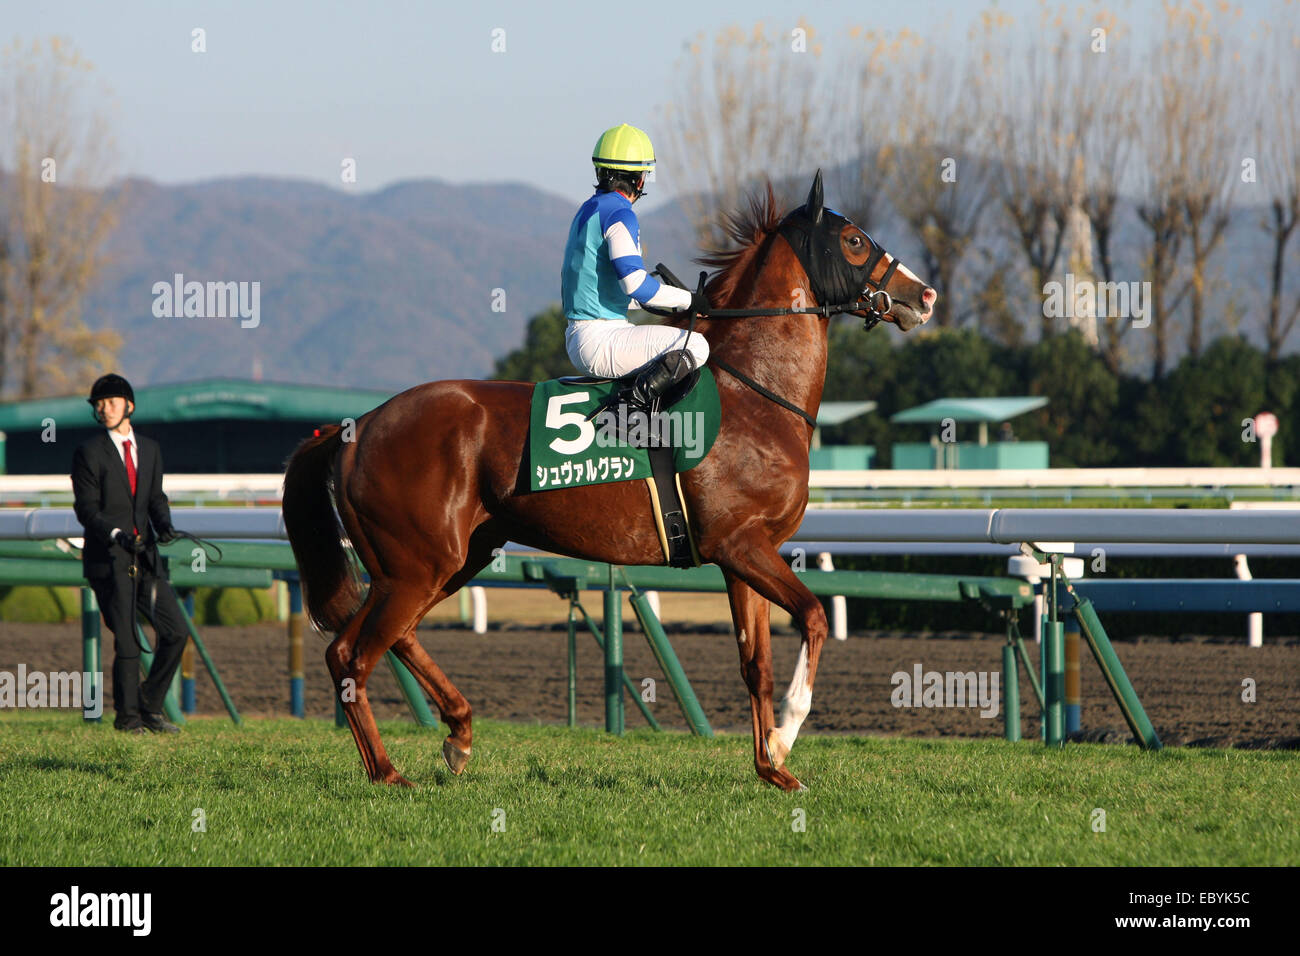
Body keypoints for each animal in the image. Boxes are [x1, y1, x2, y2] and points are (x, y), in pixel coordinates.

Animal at [282, 170, 936, 792]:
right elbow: (816, 616)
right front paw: (786, 735)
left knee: (377, 642)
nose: (924, 295)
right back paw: (389, 771)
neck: (755, 392)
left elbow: (756, 665)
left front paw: (771, 767)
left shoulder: (743, 556)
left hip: (447, 560)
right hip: (417, 565)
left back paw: (458, 733)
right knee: (353, 654)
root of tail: (357, 426)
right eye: (854, 240)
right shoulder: (742, 546)